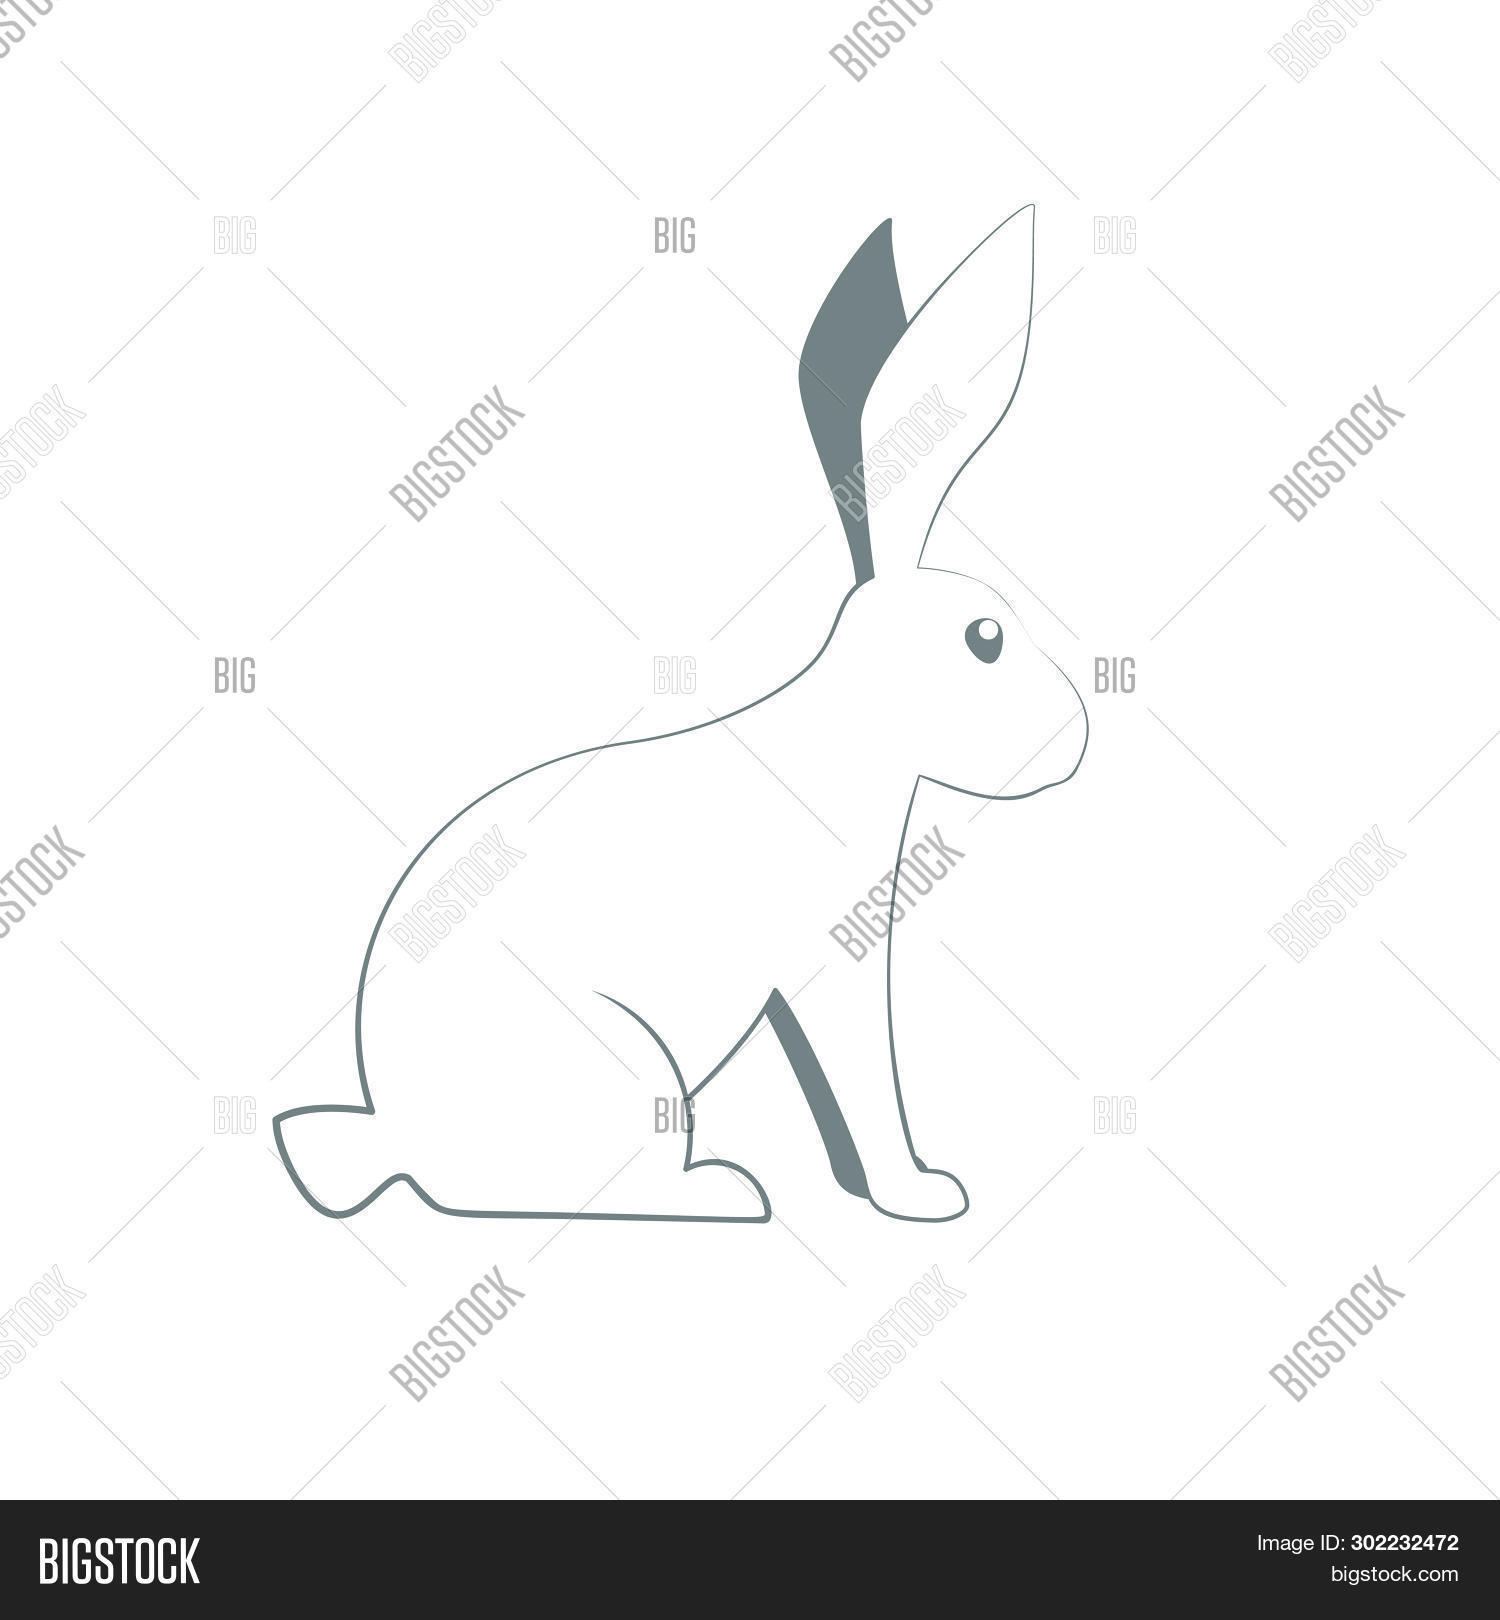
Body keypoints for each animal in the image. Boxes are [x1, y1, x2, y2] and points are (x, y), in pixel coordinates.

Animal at [275, 203, 1087, 1225]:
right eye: (986, 638)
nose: (1074, 742)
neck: (851, 731)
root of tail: (396, 1142)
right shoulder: (841, 965)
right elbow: (865, 1079)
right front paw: (922, 1195)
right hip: (625, 1068)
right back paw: (726, 1194)